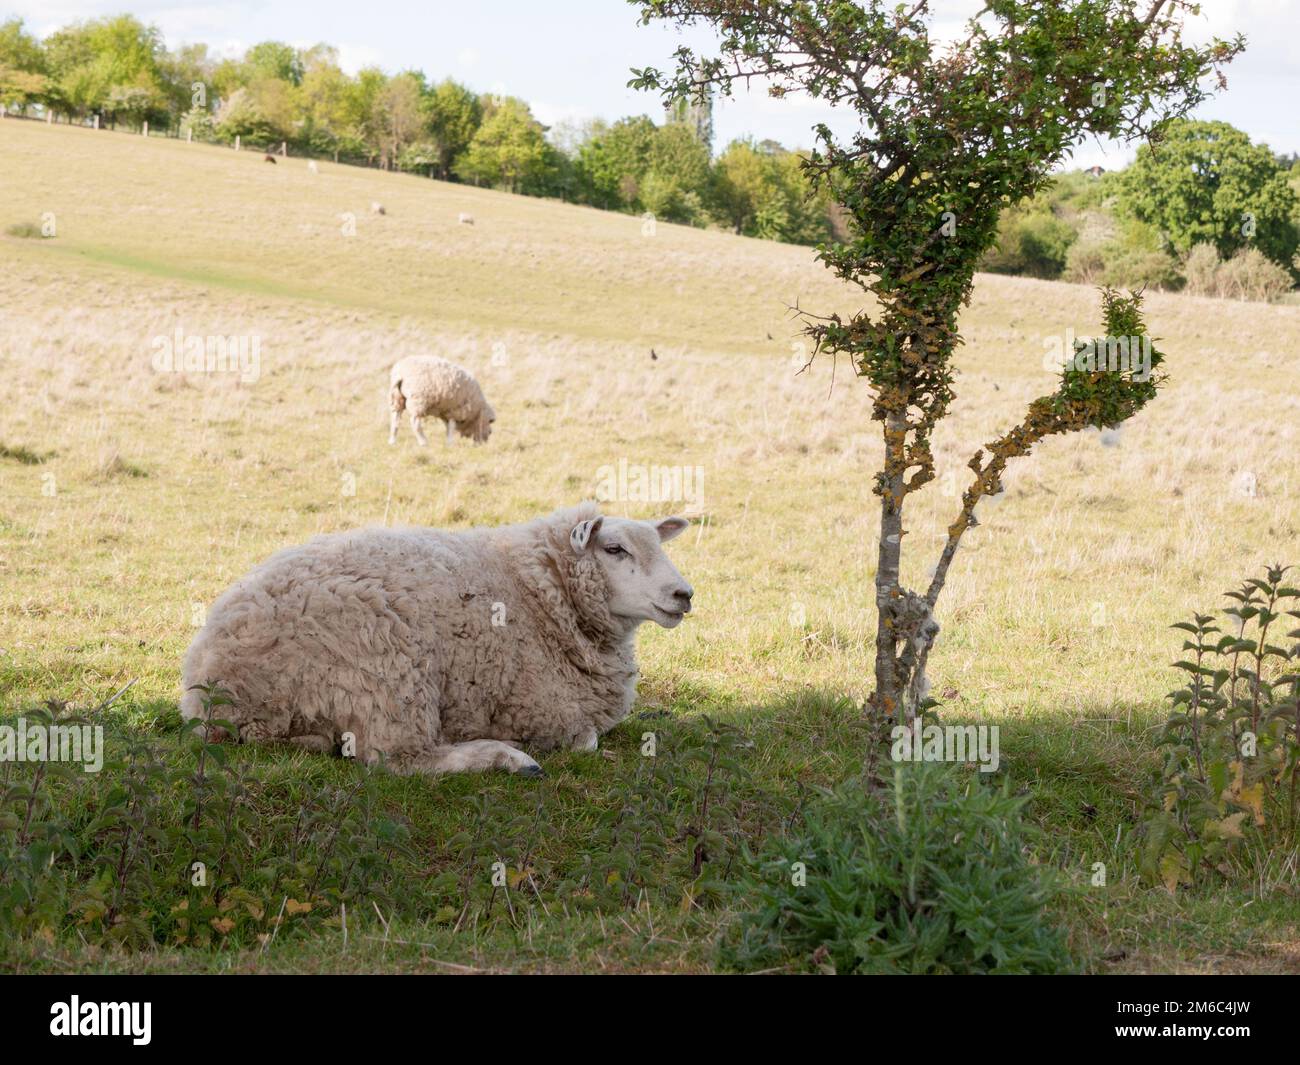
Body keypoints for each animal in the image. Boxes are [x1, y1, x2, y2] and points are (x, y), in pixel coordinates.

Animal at [180, 504, 694, 775]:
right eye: (614, 549)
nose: (683, 594)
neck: (537, 590)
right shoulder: (543, 709)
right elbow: (585, 740)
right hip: (386, 669)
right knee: (399, 759)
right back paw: (506, 757)